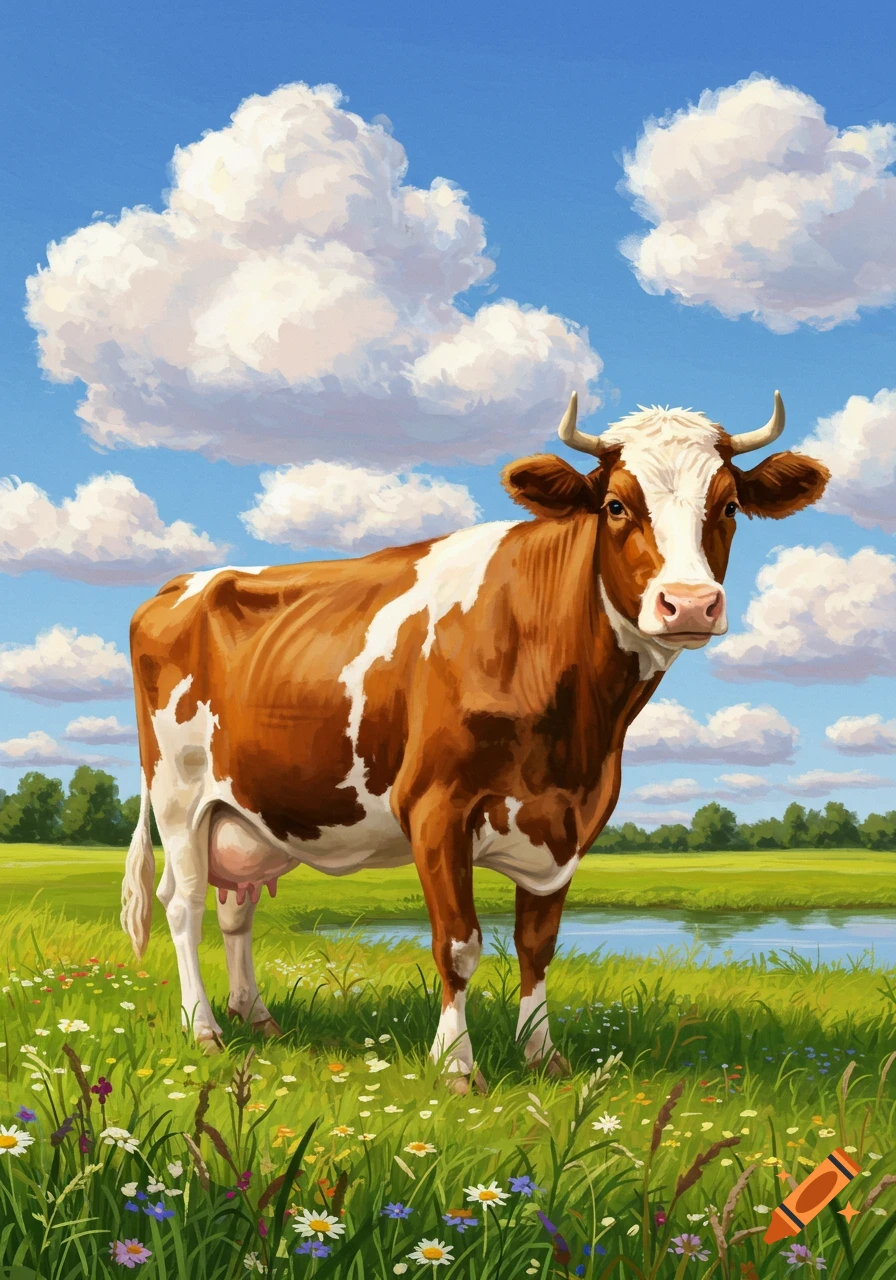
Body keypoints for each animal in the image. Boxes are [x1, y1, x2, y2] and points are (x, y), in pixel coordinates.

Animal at [121, 392, 828, 1090]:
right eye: (616, 505)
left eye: (729, 505)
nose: (689, 603)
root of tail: (179, 584)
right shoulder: (436, 807)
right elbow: (458, 943)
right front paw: (457, 1067)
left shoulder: (570, 820)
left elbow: (538, 945)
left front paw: (543, 1058)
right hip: (181, 795)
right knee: (183, 904)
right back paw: (205, 1029)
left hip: (243, 812)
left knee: (234, 908)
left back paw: (258, 1019)